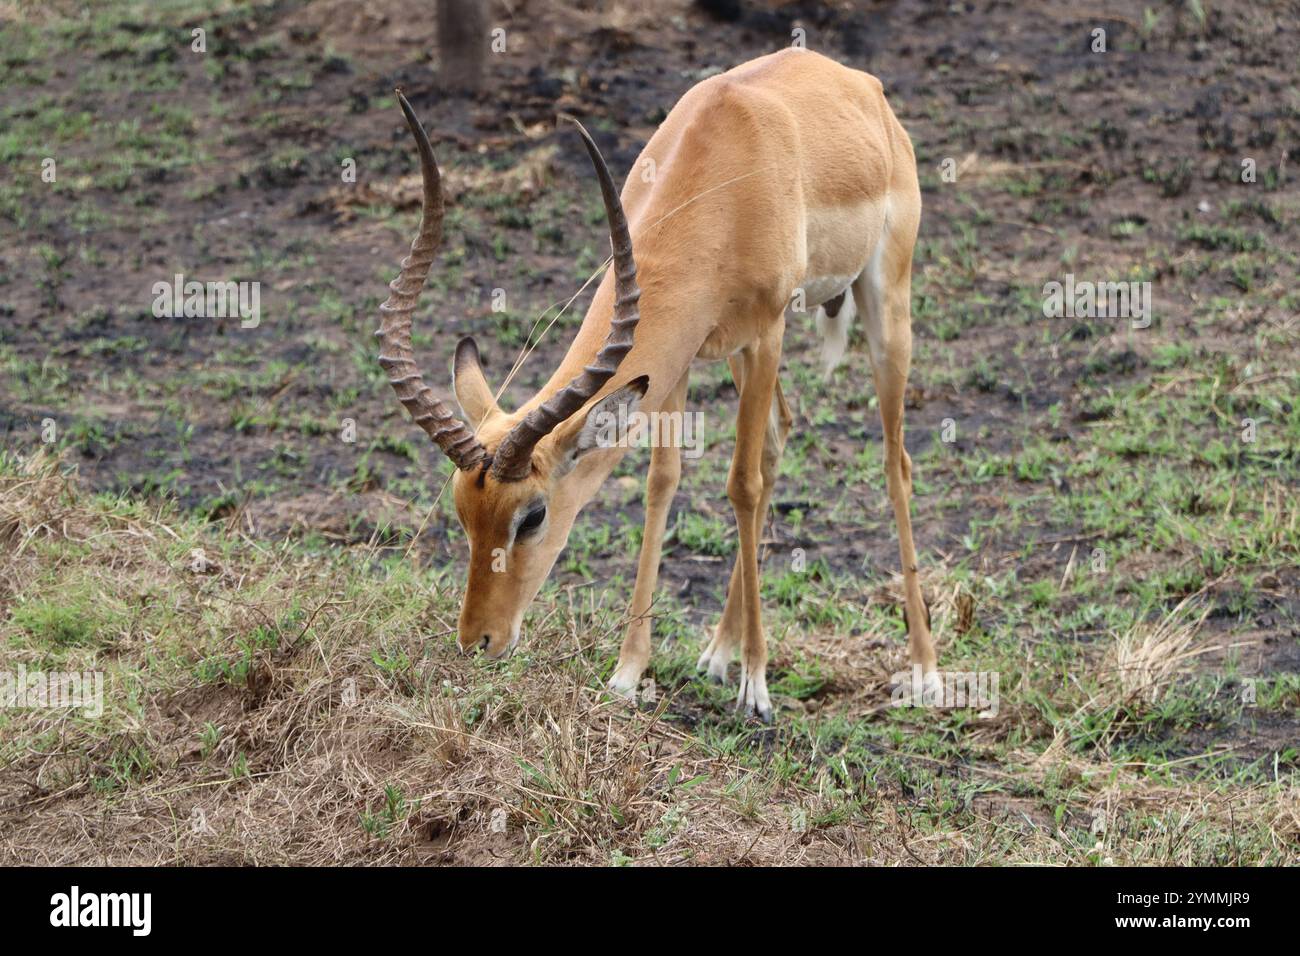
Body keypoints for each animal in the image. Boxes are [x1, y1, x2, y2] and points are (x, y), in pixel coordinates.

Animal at [377, 49, 936, 721]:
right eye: (461, 512)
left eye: (532, 516)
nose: (478, 640)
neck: (725, 163)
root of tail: (862, 86)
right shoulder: (678, 355)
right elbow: (661, 483)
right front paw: (628, 671)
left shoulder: (767, 331)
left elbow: (741, 485)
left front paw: (757, 685)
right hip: (736, 355)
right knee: (779, 437)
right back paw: (717, 650)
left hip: (884, 303)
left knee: (892, 462)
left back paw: (924, 672)